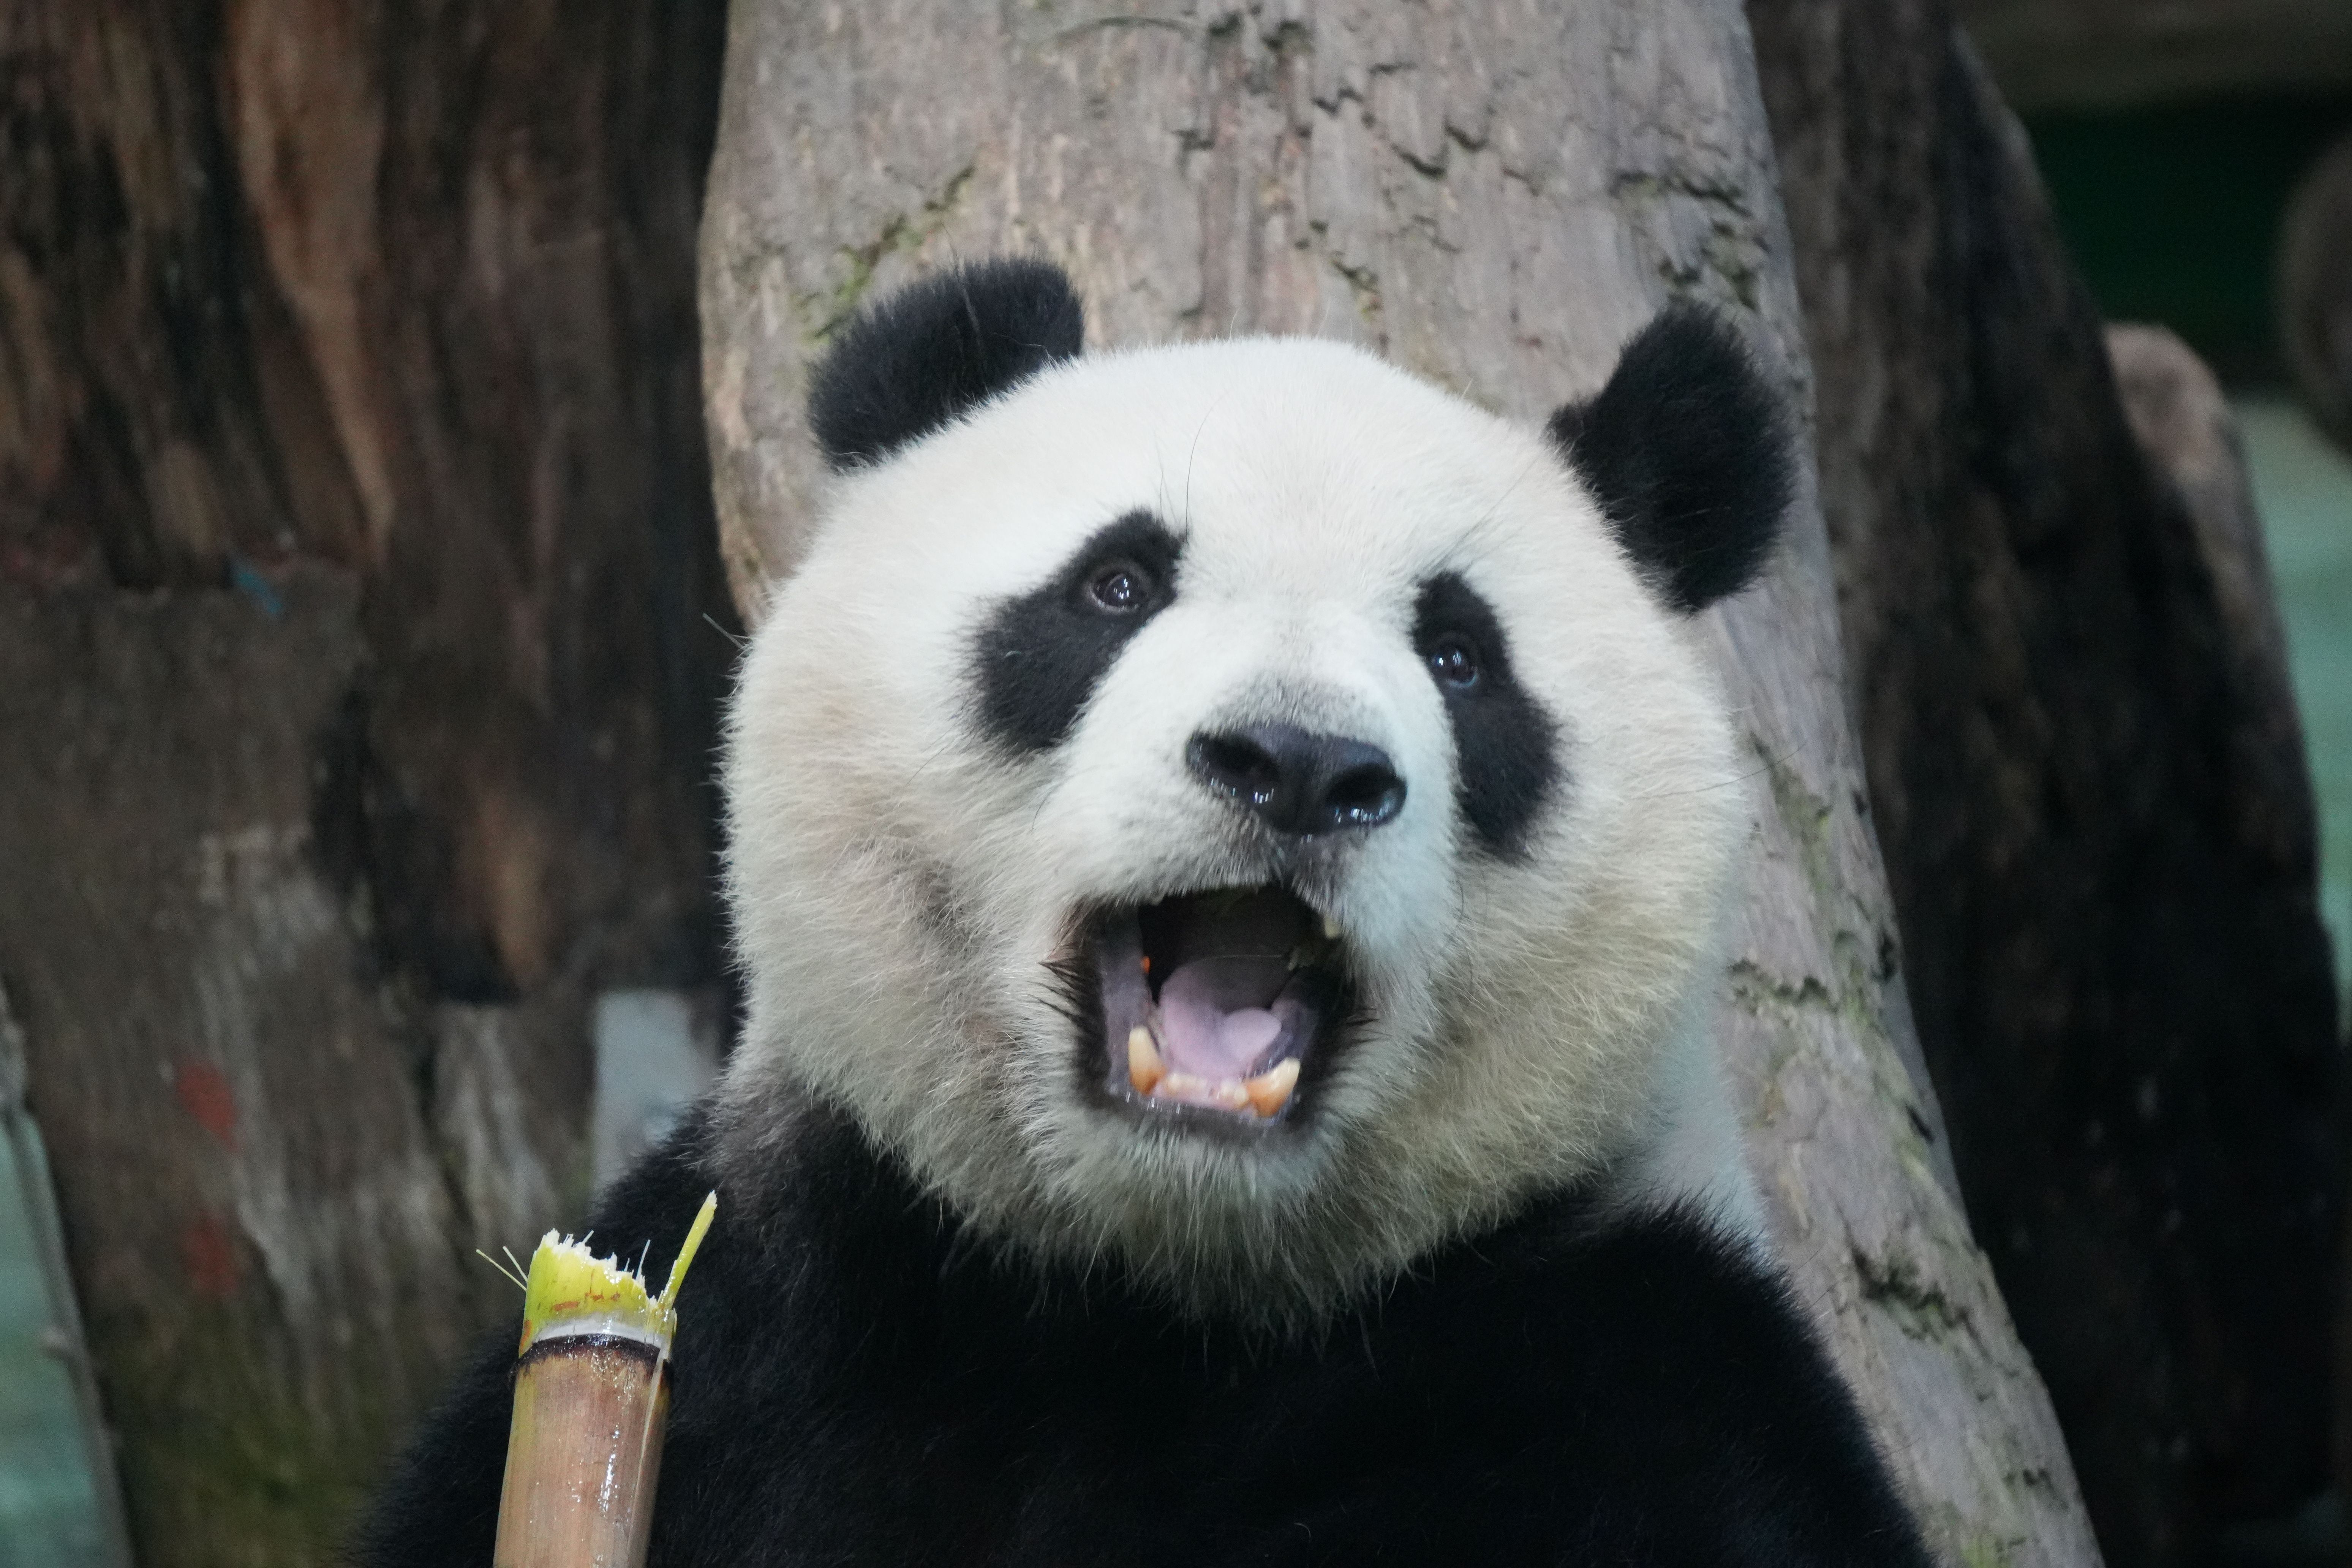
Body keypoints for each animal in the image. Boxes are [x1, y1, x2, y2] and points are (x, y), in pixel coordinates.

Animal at [357, 258, 1933, 1567]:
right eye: (1115, 583)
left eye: (1459, 654)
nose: (1298, 763)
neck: (1144, 1295)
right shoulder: (780, 1304)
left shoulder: (1628, 1371)